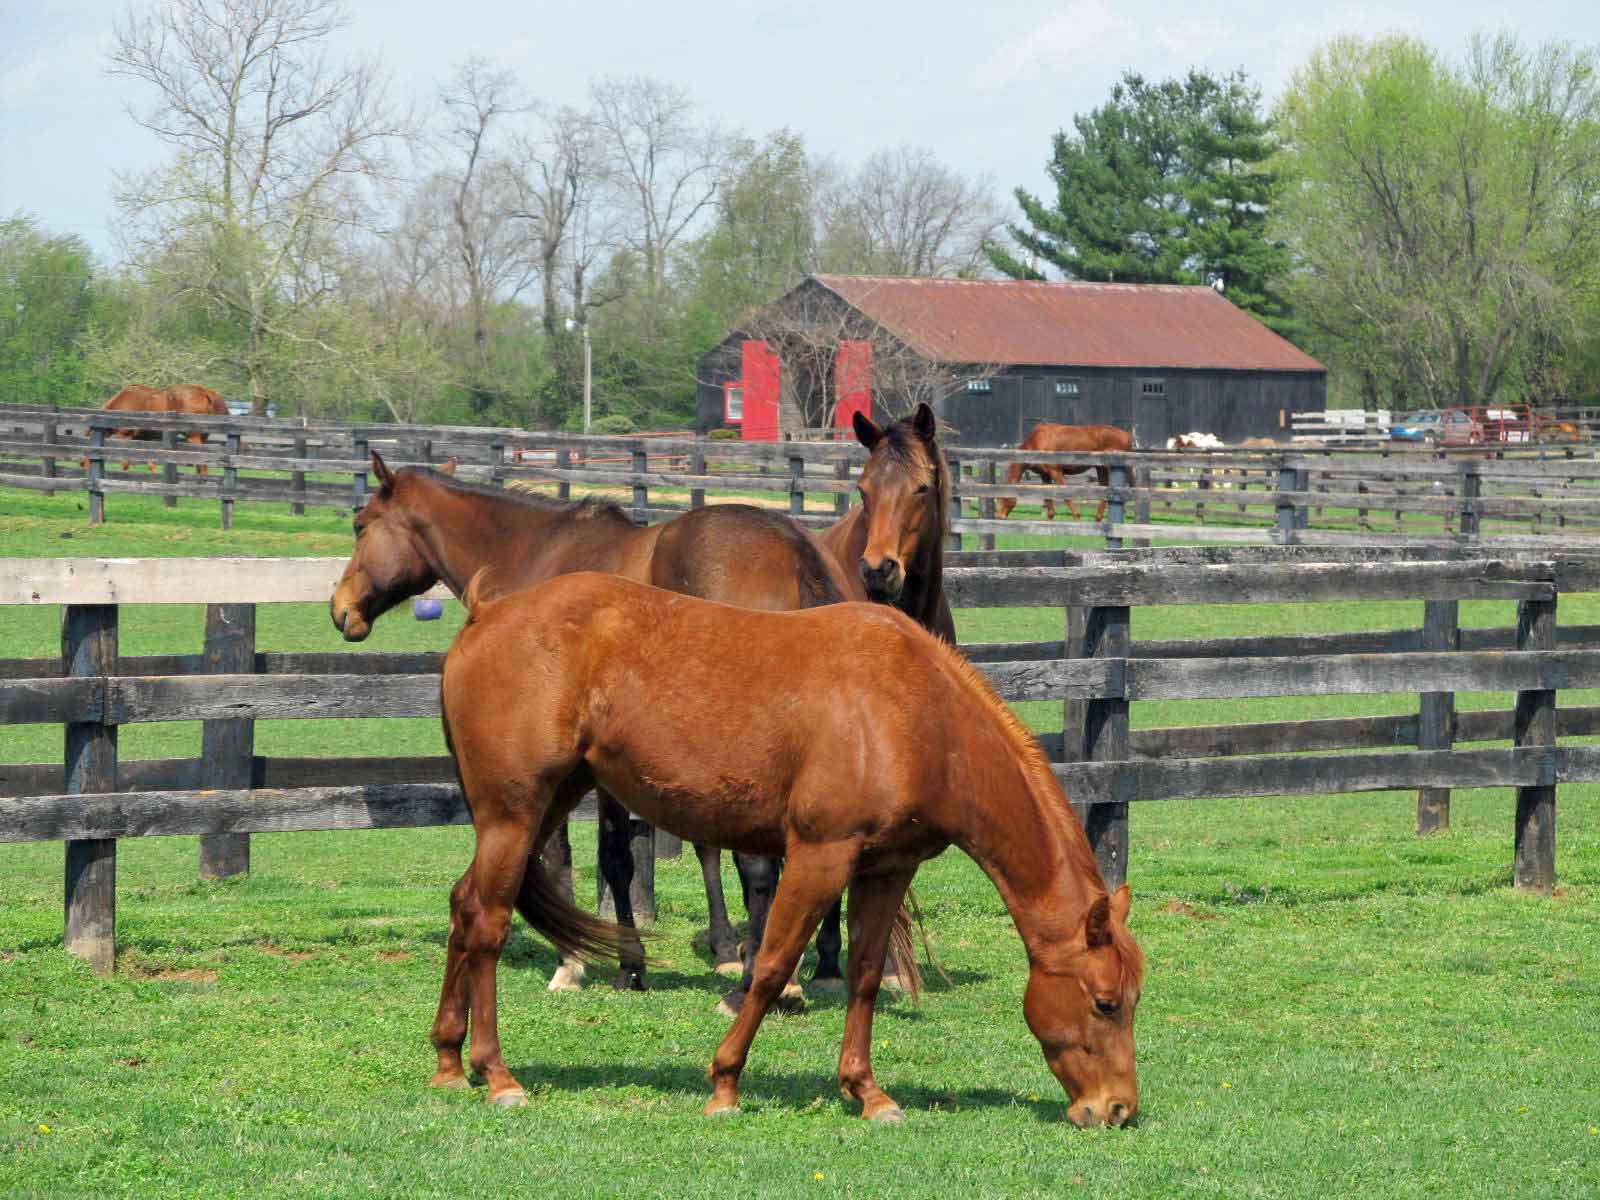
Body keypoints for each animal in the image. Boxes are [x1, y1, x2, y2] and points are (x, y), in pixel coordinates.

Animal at [329, 404, 954, 1010]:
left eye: (360, 525)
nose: (341, 609)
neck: (530, 554)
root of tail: (791, 546)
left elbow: (588, 855)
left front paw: (588, 964)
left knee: (756, 865)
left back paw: (757, 984)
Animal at [432, 571, 1145, 1126]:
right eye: (1105, 1003)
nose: (1117, 1109)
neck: (916, 715)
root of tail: (488, 611)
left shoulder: (886, 869)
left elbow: (864, 973)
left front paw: (868, 1092)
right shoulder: (819, 855)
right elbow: (773, 966)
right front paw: (725, 1084)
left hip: (542, 806)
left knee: (465, 908)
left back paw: (448, 1062)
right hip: (514, 816)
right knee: (488, 924)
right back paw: (497, 1076)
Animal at [995, 423, 1133, 521]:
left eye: (1003, 497)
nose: (998, 516)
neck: (1036, 443)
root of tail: (1127, 436)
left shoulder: (1055, 470)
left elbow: (1065, 495)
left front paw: (1077, 517)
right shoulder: (1045, 474)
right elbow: (1048, 497)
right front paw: (1050, 517)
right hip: (1101, 468)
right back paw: (1097, 518)